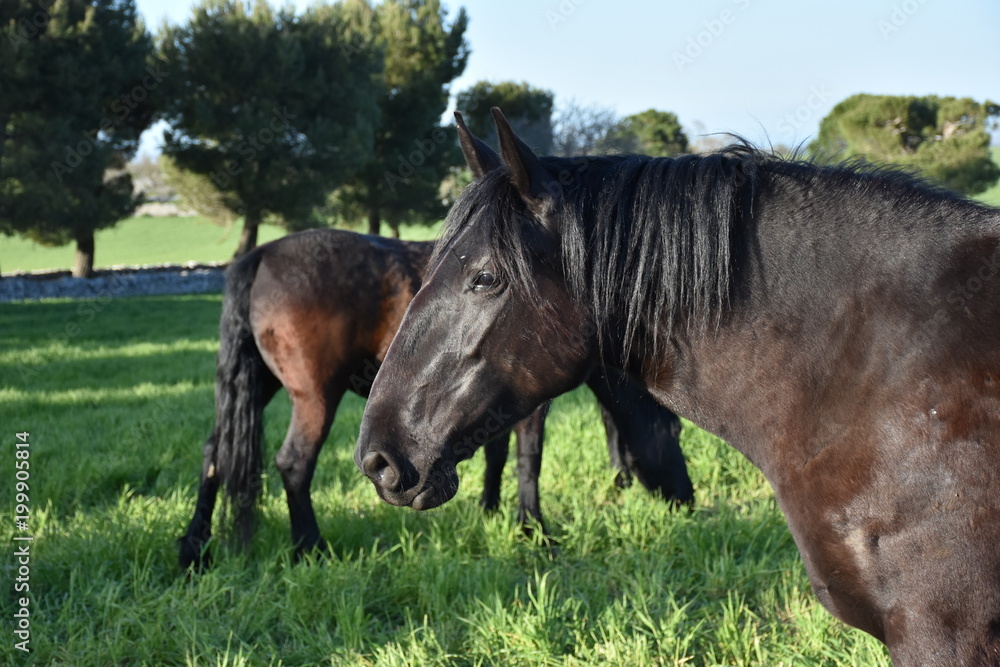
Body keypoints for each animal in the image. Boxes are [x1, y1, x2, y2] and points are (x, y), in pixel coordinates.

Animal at [179, 227, 693, 570]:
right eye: (675, 429)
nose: (687, 501)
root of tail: (263, 253)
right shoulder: (530, 404)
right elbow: (528, 458)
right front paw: (533, 528)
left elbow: (495, 453)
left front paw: (490, 510)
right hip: (314, 398)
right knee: (294, 464)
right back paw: (310, 548)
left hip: (257, 384)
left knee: (214, 453)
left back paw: (194, 550)